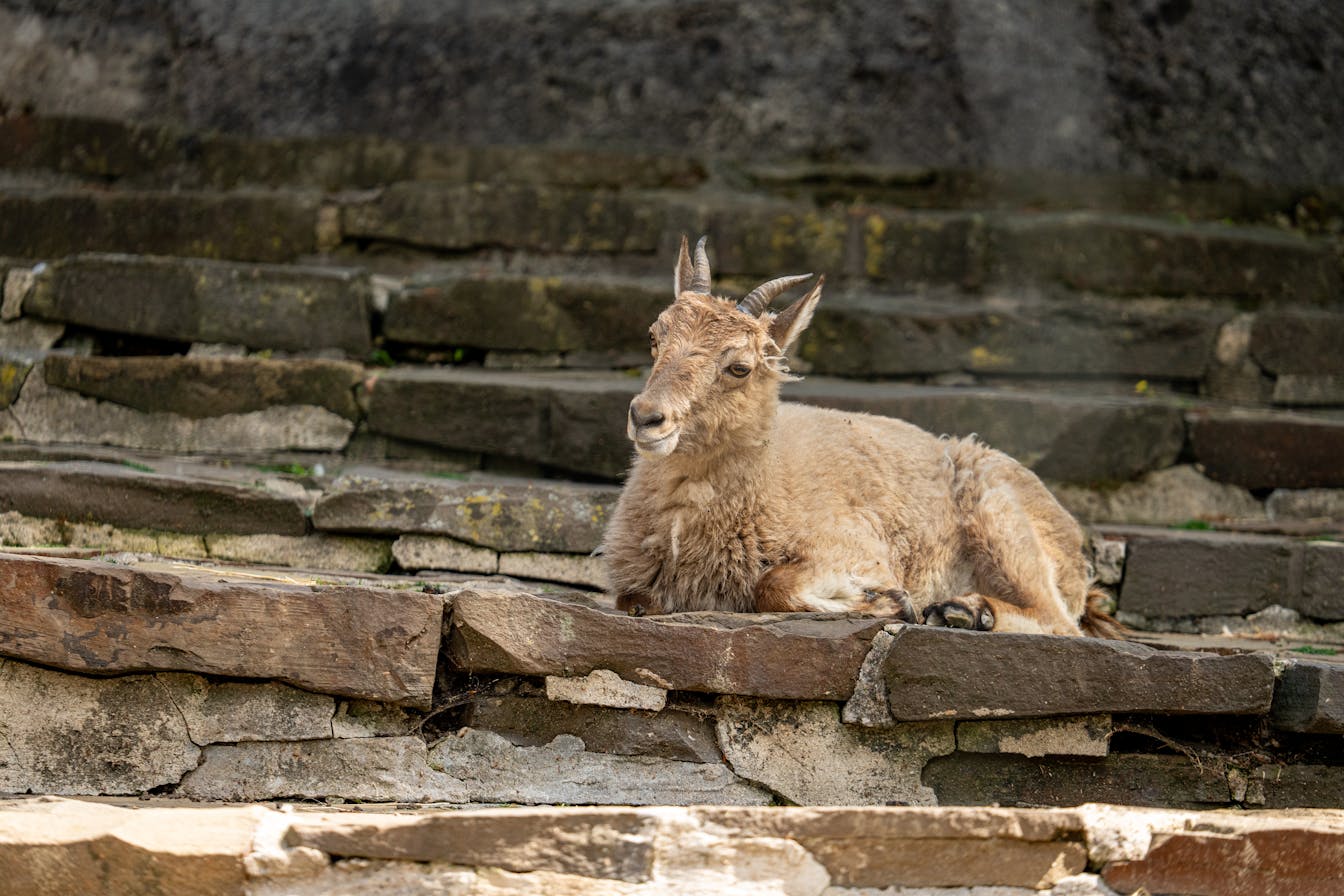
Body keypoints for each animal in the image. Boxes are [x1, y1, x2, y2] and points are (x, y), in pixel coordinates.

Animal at [602, 236, 1124, 638]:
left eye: (739, 367)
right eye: (654, 336)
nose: (647, 417)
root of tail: (1073, 548)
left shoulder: (856, 547)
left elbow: (773, 587)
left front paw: (892, 602)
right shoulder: (637, 587)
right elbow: (637, 600)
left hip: (1000, 522)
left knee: (1060, 622)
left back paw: (964, 610)